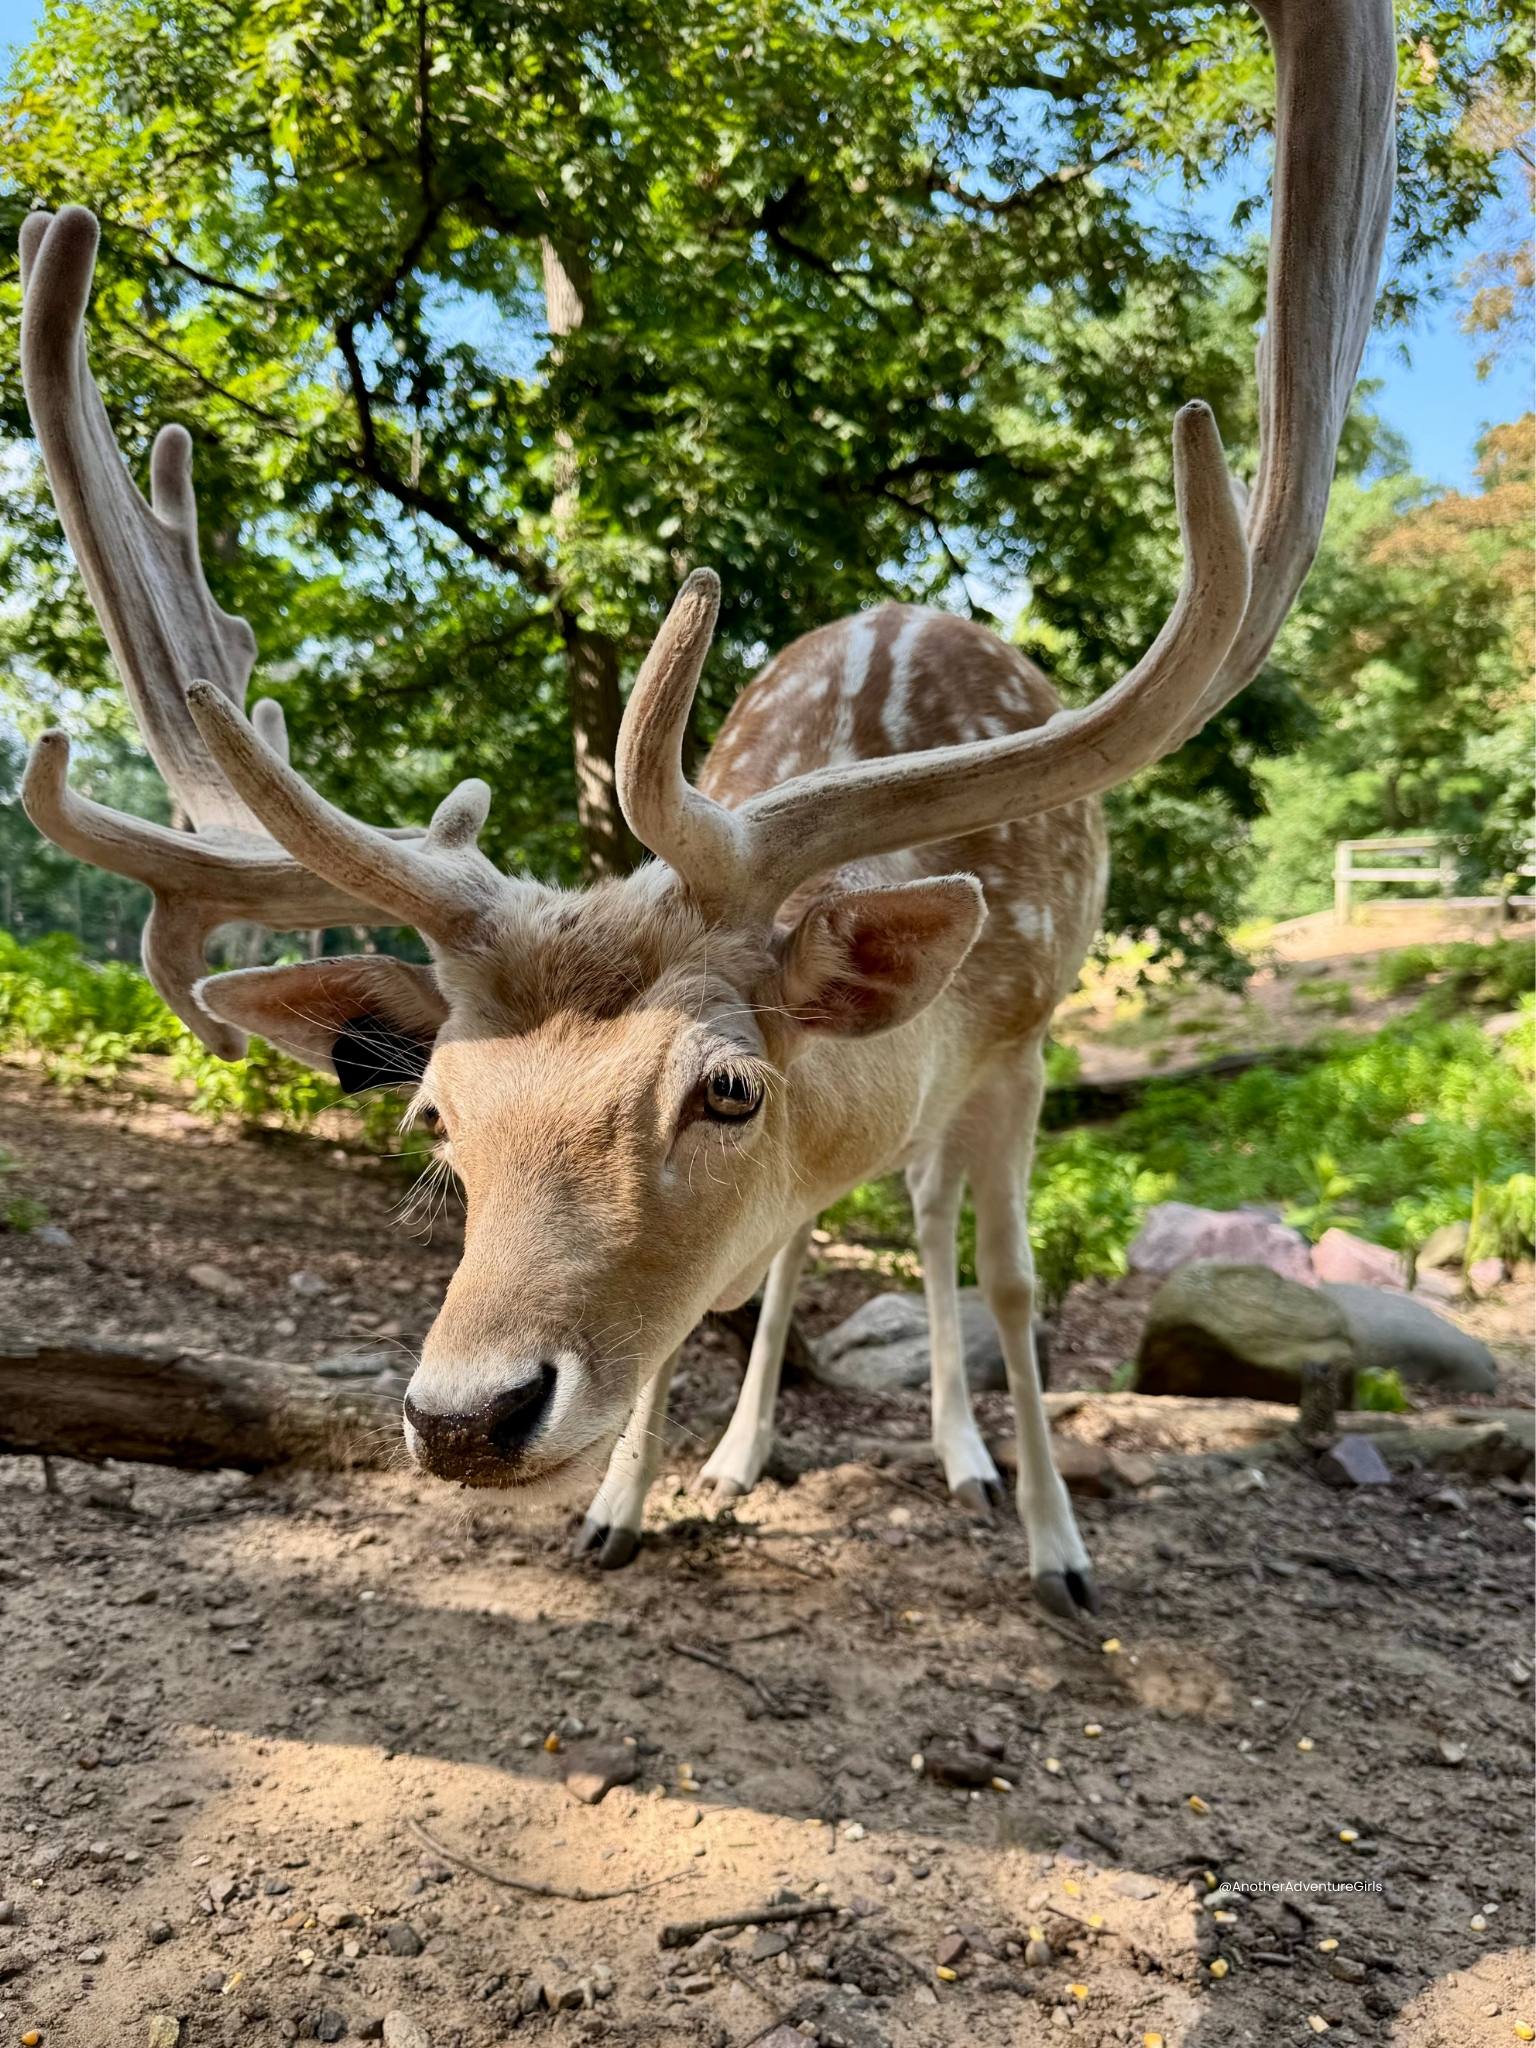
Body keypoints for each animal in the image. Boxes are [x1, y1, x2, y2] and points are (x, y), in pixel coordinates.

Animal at [13, 0, 1394, 1617]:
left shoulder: (1029, 1033)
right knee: (823, 1235)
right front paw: (624, 1506)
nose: (463, 1416)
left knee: (930, 1219)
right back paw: (742, 1455)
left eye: (724, 1087)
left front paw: (1061, 1550)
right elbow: (757, 1269)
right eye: (434, 1111)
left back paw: (968, 1461)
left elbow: (1010, 1276)